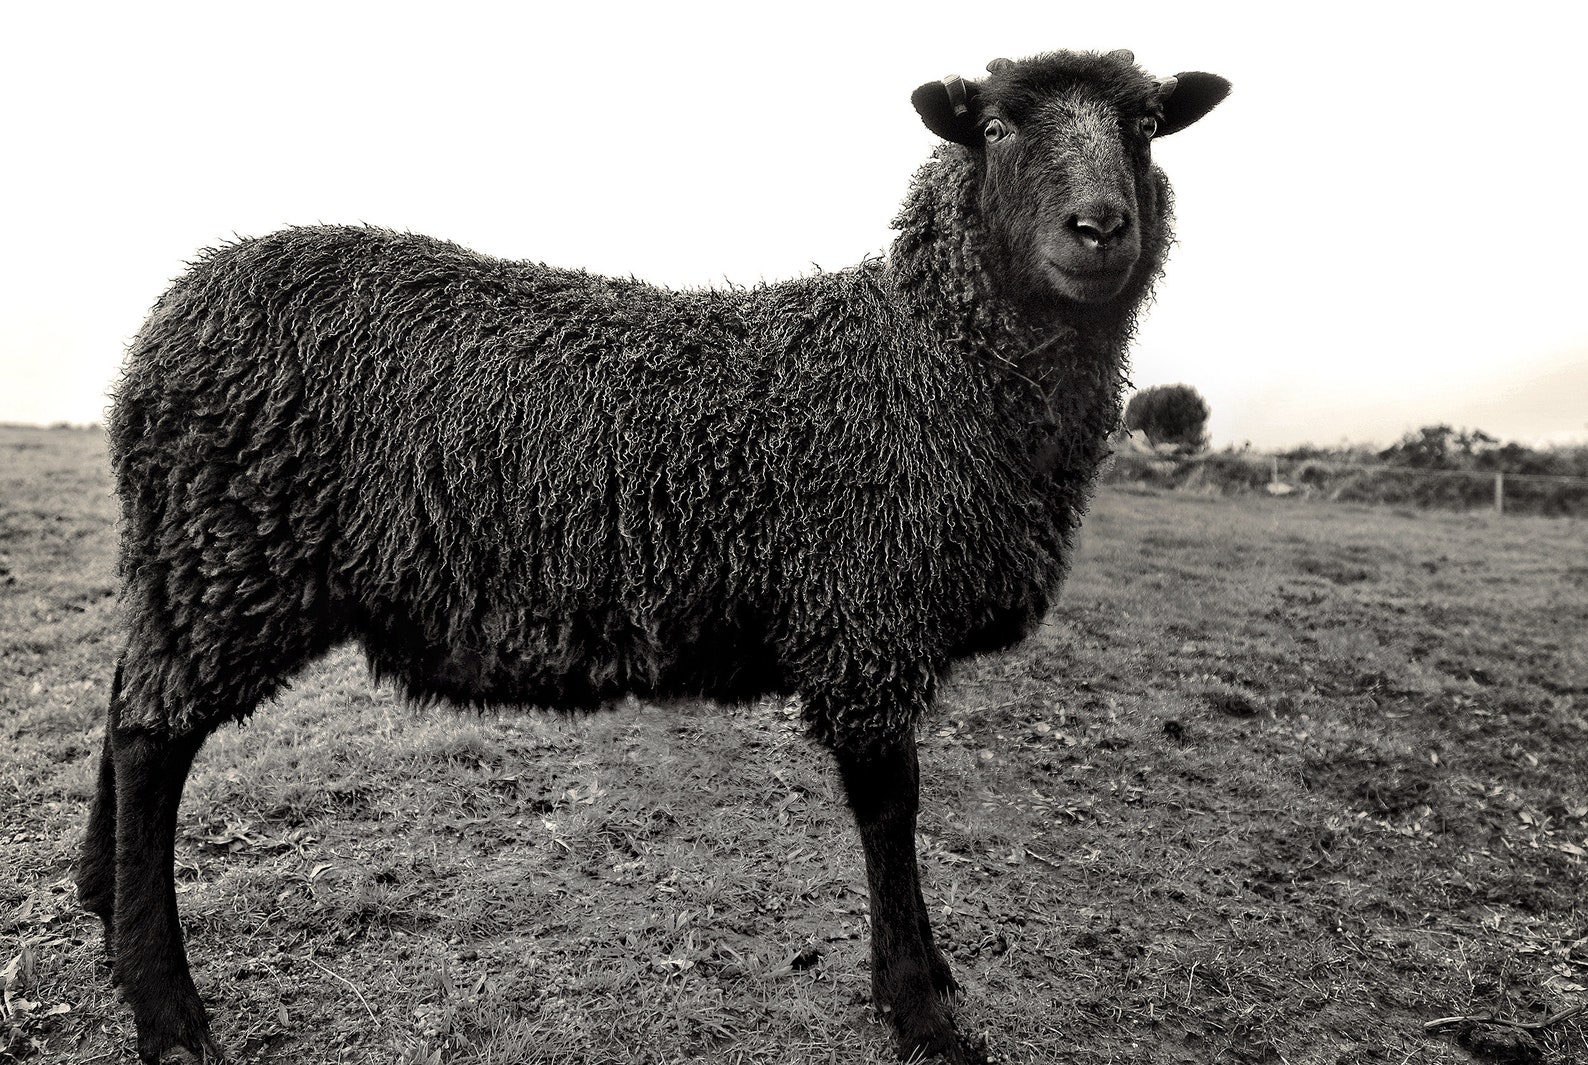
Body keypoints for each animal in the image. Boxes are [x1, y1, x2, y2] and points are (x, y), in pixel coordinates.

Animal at [77, 48, 1228, 1063]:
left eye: (1143, 125)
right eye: (995, 128)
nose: (1100, 228)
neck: (923, 359)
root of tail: (165, 323)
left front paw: (929, 985)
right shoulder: (864, 615)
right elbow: (891, 809)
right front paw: (920, 1009)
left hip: (193, 558)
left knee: (130, 691)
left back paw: (101, 892)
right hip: (236, 555)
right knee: (150, 739)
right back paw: (165, 1007)